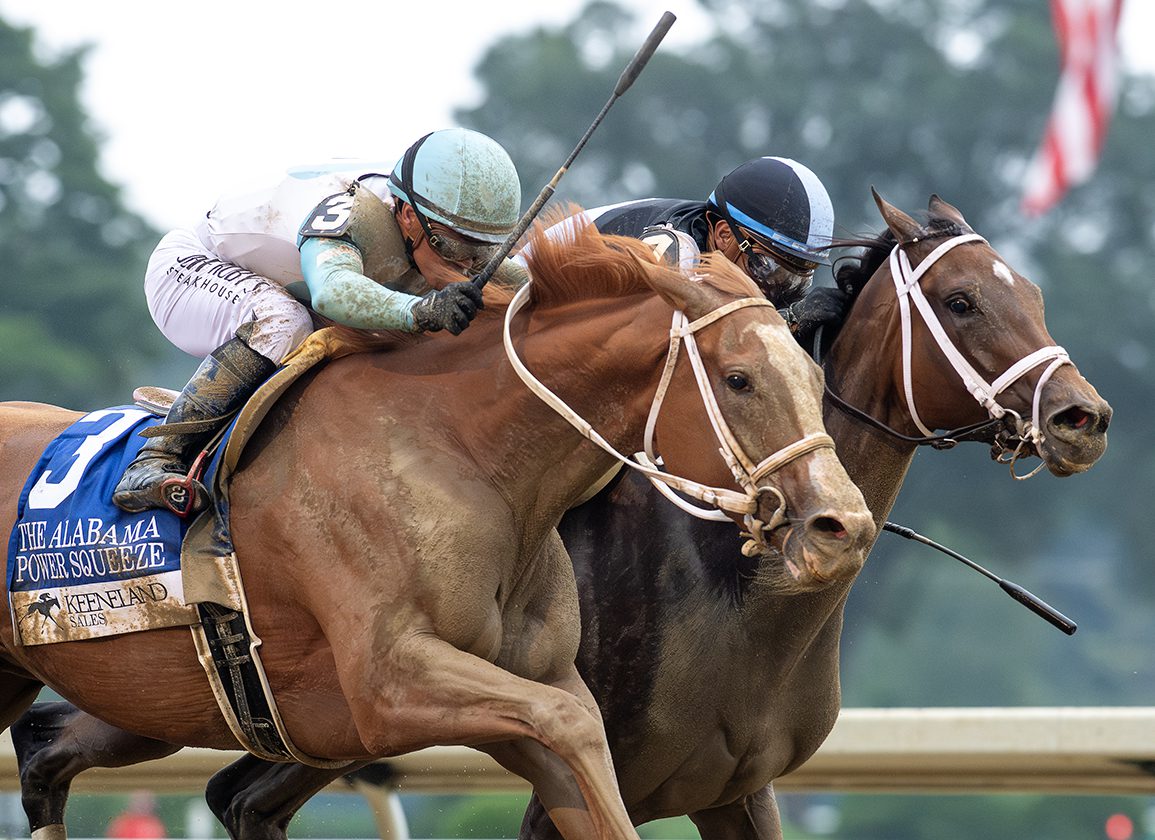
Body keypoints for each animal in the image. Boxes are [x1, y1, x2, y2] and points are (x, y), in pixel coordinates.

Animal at [13, 192, 1110, 840]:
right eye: (962, 301)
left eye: (1033, 290)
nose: (1083, 417)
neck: (729, 584)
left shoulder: (736, 790)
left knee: (140, 769)